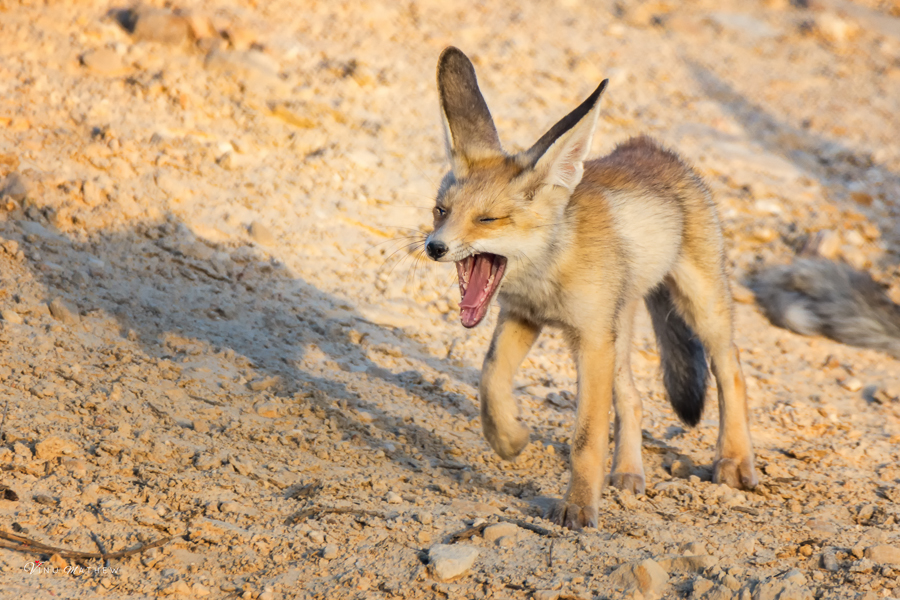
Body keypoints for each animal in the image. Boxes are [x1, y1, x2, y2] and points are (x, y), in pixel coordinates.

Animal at [423, 47, 758, 529]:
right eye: (441, 210)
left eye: (488, 219)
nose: (434, 247)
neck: (548, 275)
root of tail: (646, 146)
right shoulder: (523, 318)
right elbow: (489, 381)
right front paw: (509, 439)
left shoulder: (591, 340)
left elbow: (586, 438)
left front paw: (579, 505)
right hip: (618, 333)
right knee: (633, 400)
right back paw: (628, 472)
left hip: (698, 307)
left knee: (730, 371)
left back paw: (732, 459)